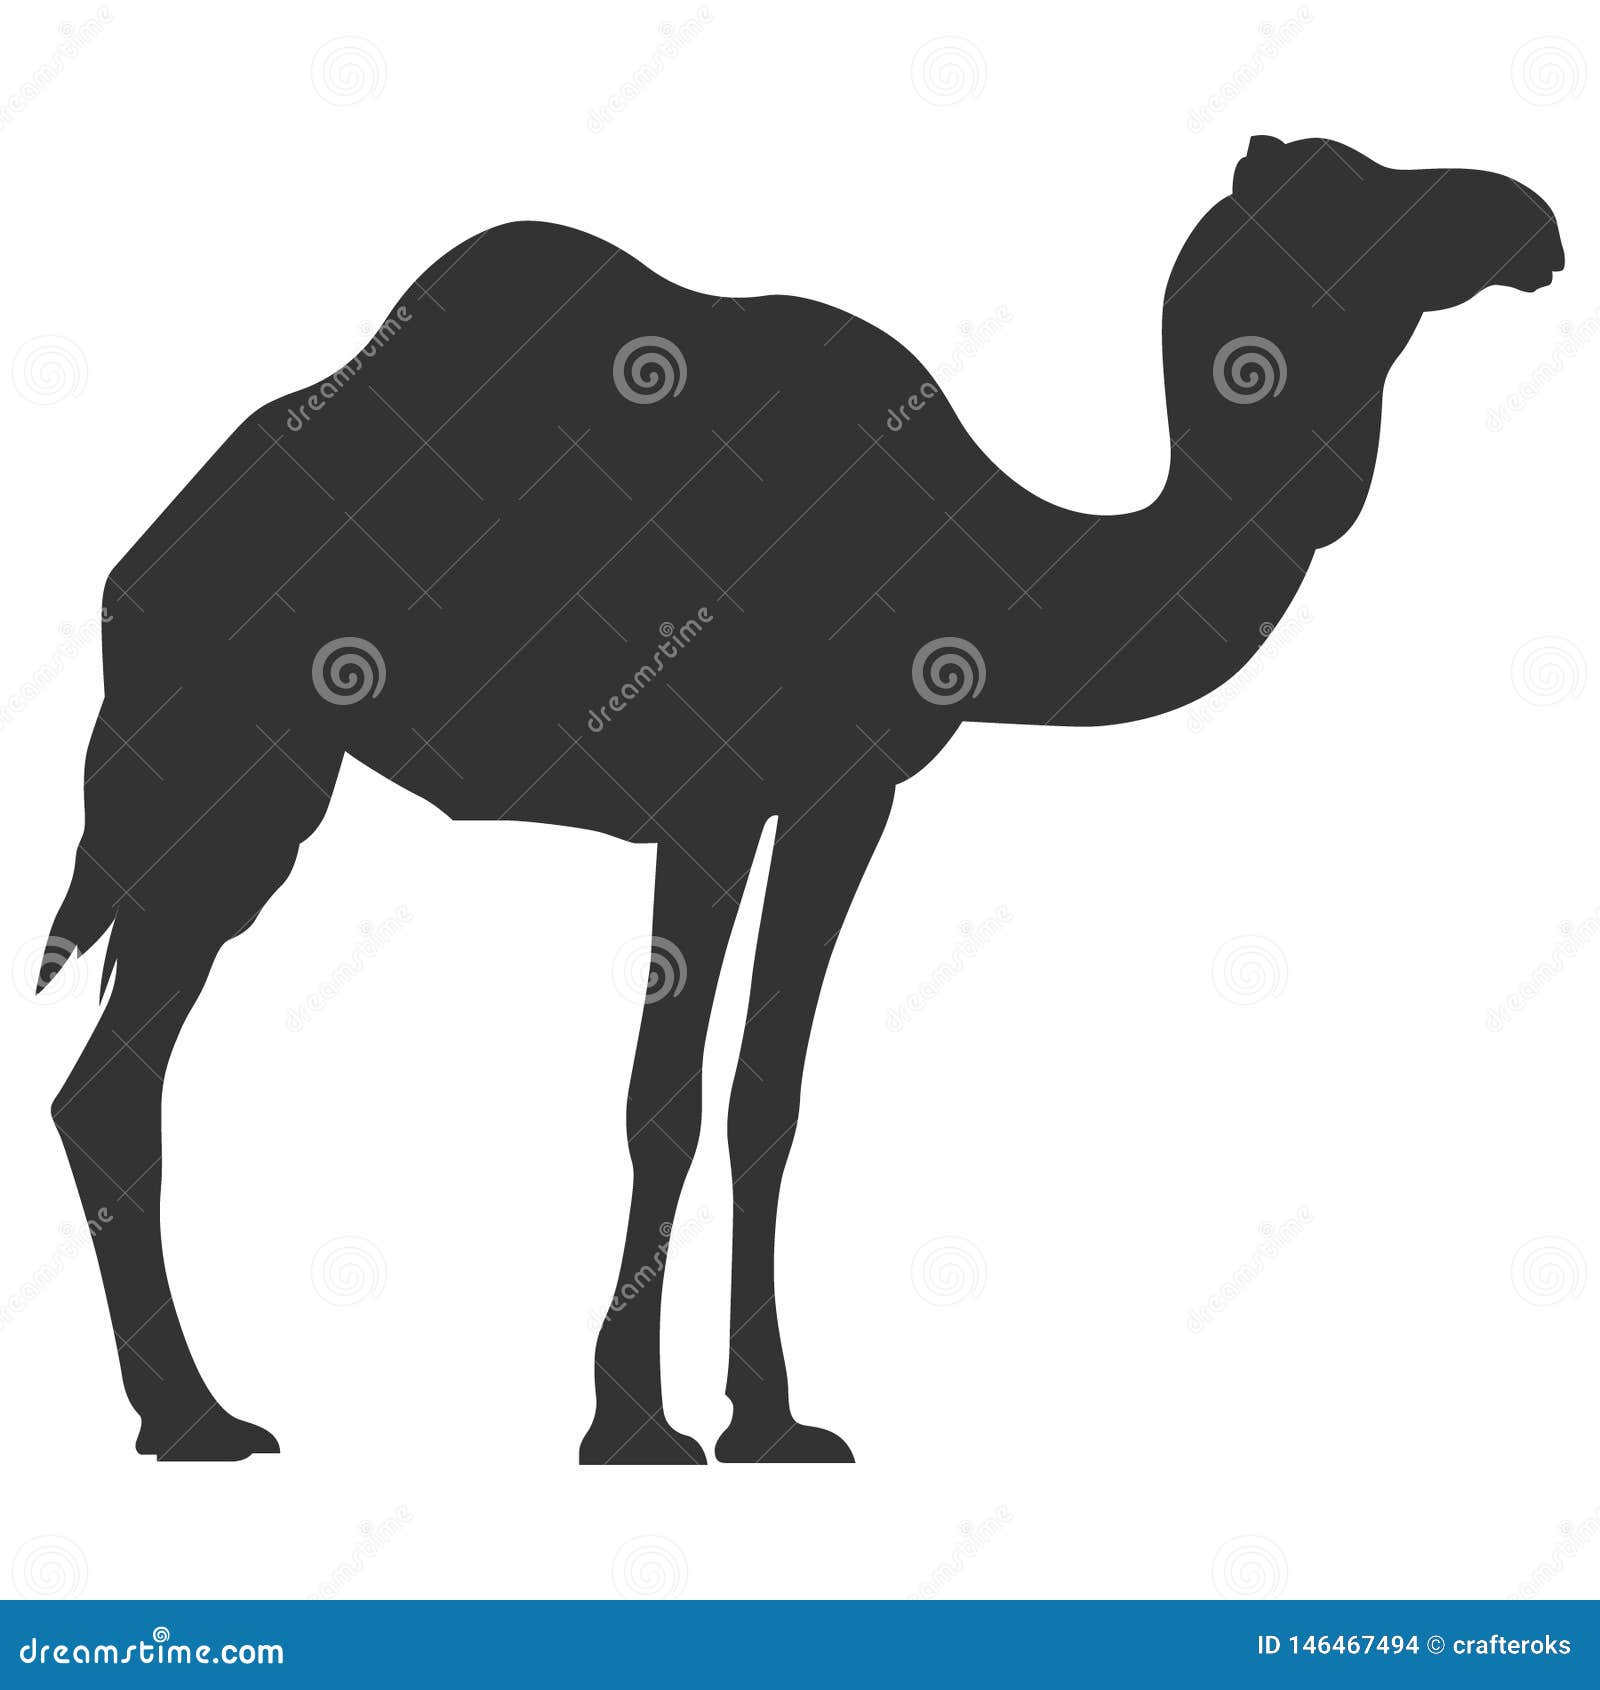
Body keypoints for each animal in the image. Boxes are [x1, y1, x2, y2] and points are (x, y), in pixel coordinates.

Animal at [38, 136, 1561, 1461]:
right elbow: (662, 1097)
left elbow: (768, 1095)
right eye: (1354, 191)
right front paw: (632, 1427)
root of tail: (142, 559)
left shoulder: (844, 787)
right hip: (228, 756)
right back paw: (195, 1421)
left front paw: (768, 1423)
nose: (1532, 221)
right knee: (117, 1070)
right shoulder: (706, 791)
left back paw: (188, 1413)